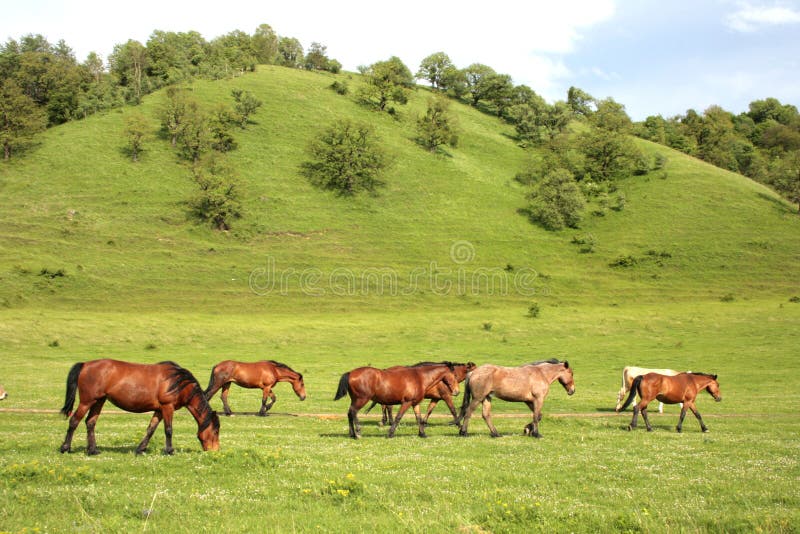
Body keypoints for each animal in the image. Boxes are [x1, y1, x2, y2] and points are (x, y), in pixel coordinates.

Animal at [59, 359, 220, 455]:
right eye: (216, 431)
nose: (215, 451)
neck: (178, 383)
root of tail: (85, 364)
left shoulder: (159, 410)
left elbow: (151, 429)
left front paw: (140, 449)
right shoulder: (167, 407)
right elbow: (168, 430)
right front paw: (169, 450)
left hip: (99, 401)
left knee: (90, 423)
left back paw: (93, 450)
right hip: (87, 402)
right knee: (74, 421)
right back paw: (65, 448)